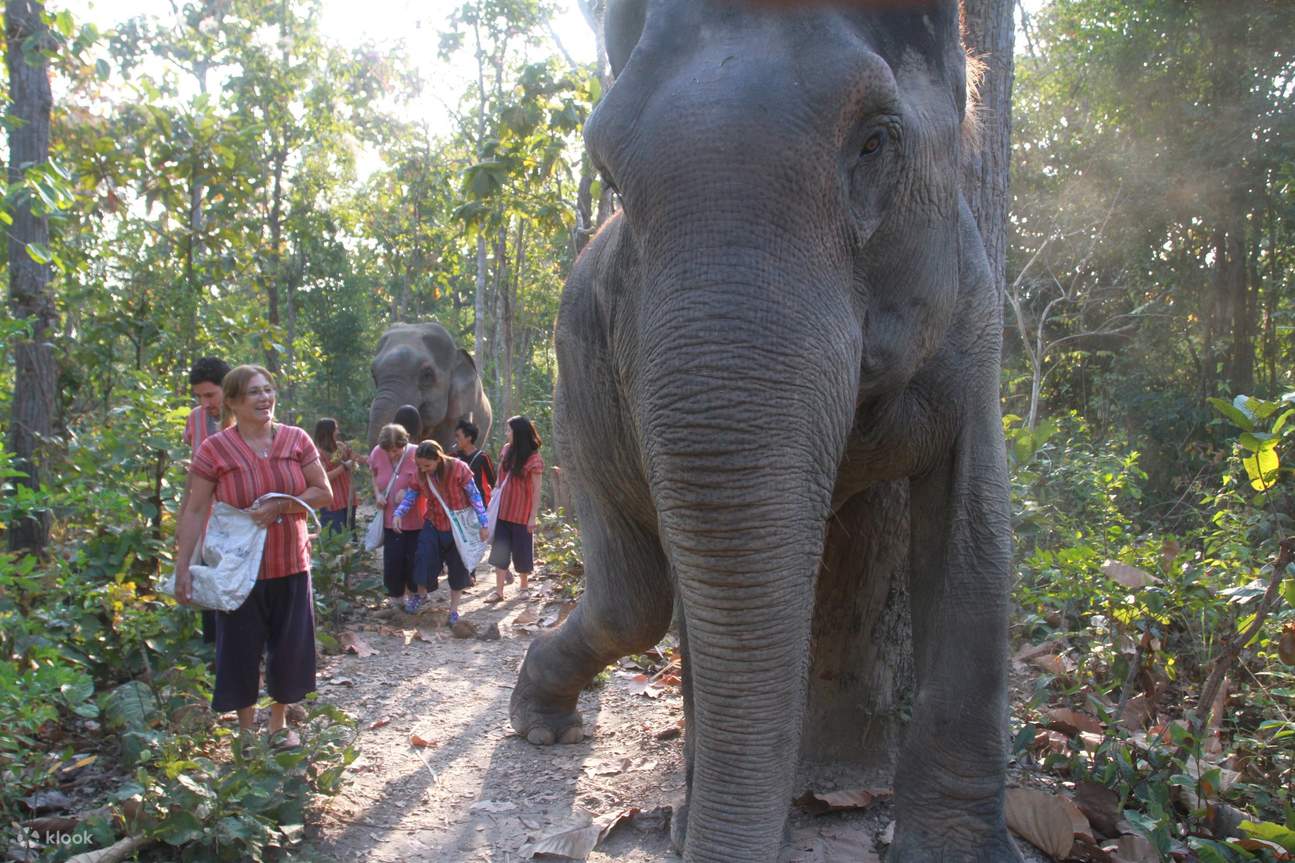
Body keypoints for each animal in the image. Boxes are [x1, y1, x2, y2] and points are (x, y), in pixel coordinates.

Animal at [508, 2, 1018, 862]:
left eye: (873, 140)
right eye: (611, 179)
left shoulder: (976, 315)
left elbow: (973, 540)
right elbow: (698, 583)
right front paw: (688, 819)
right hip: (571, 403)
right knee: (631, 599)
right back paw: (539, 724)